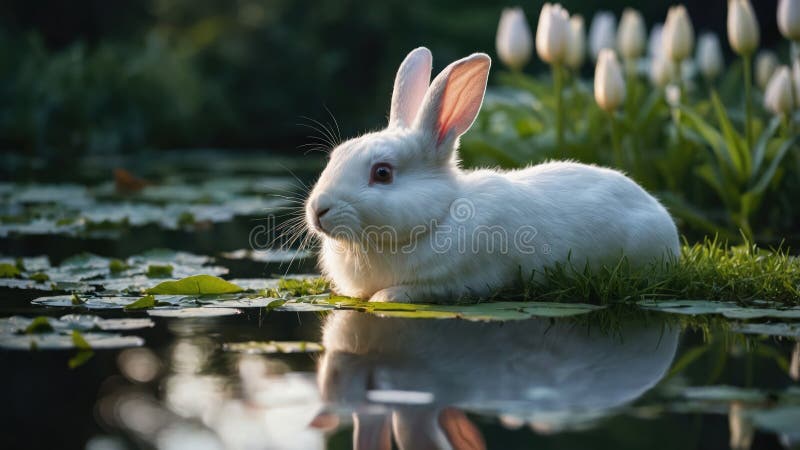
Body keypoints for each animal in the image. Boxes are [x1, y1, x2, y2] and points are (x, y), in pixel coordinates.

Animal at [305, 47, 680, 302]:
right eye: (336, 155)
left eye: (382, 173)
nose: (318, 210)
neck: (440, 217)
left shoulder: (463, 279)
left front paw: (384, 297)